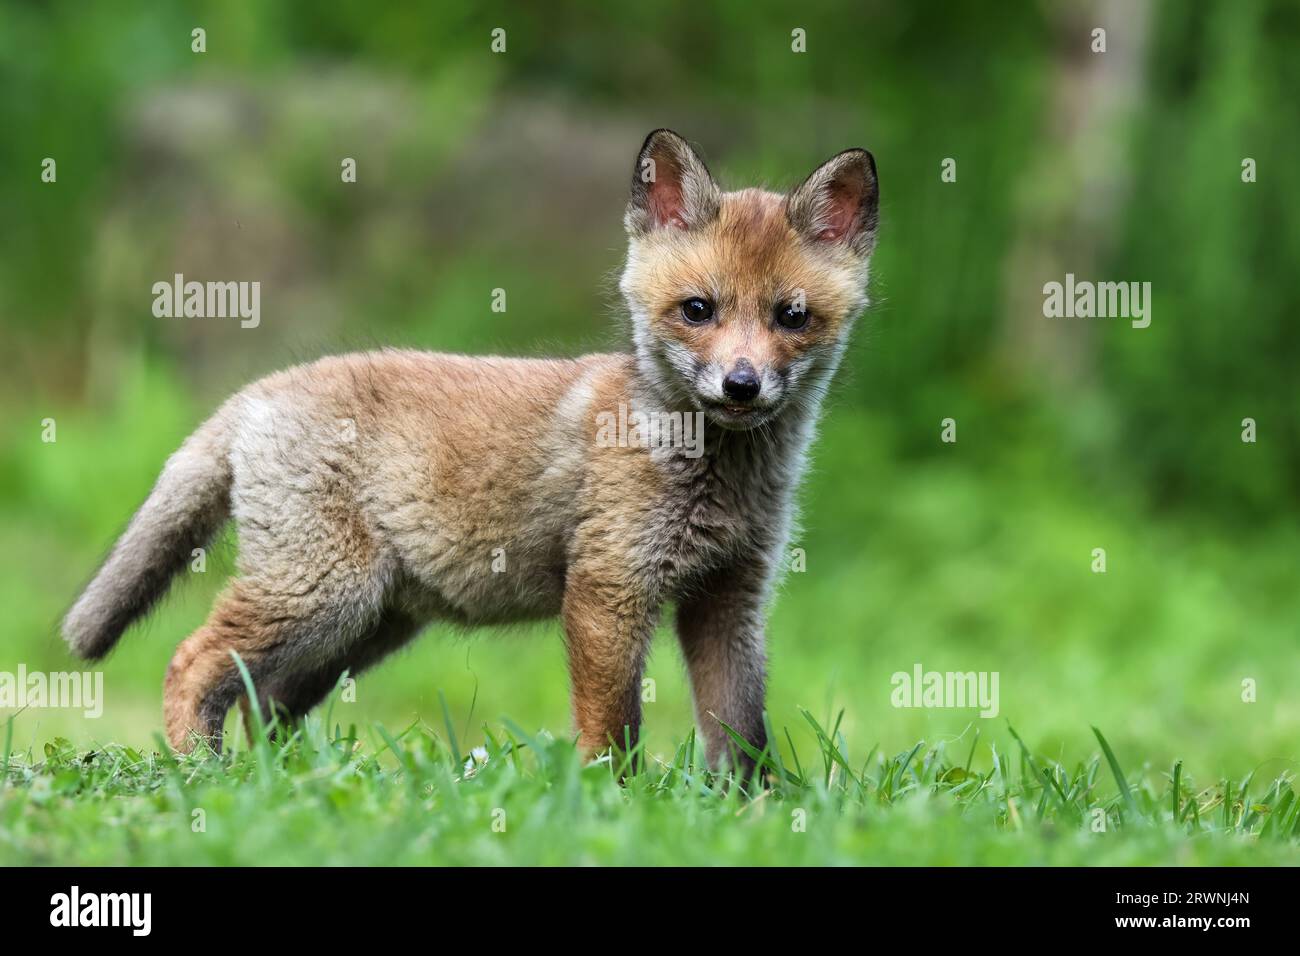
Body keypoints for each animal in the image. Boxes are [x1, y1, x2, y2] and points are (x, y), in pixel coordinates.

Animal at [63, 129, 880, 774]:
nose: (741, 385)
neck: (714, 473)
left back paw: (286, 781)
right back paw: (201, 773)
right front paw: (610, 803)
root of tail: (260, 390)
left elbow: (742, 733)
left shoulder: (731, 598)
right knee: (193, 663)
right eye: (698, 310)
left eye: (792, 317)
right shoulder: (608, 588)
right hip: (320, 594)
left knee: (264, 698)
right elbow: (614, 729)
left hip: (365, 623)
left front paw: (753, 811)